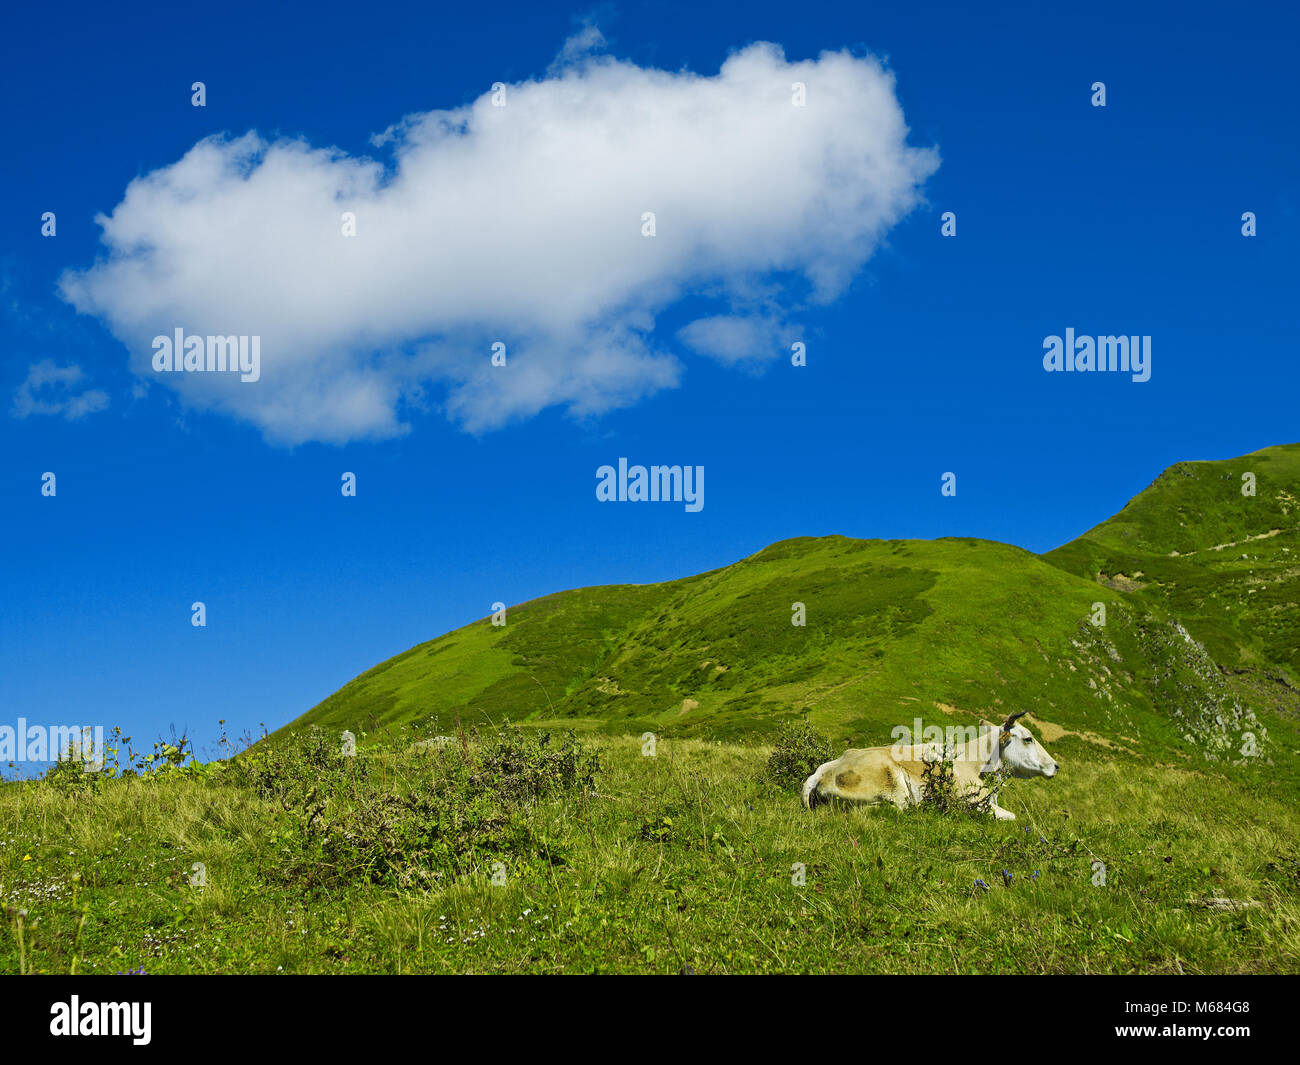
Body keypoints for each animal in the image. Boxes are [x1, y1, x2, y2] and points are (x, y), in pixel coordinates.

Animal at [801, 711, 1058, 820]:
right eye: (1028, 738)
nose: (1055, 766)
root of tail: (820, 774)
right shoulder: (973, 803)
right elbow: (1013, 817)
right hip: (895, 792)